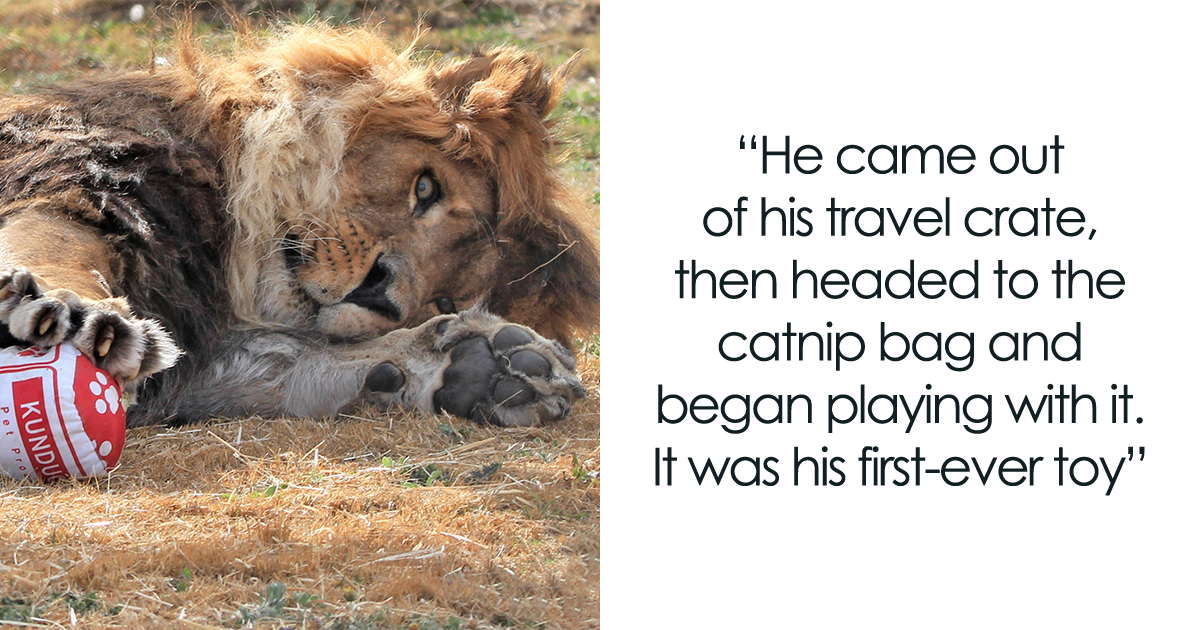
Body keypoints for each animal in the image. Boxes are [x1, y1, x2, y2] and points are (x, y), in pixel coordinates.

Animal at [0, 25, 599, 428]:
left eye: (445, 300)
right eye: (427, 188)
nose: (378, 291)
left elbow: (286, 359)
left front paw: (483, 367)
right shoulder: (77, 179)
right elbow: (53, 246)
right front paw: (76, 315)